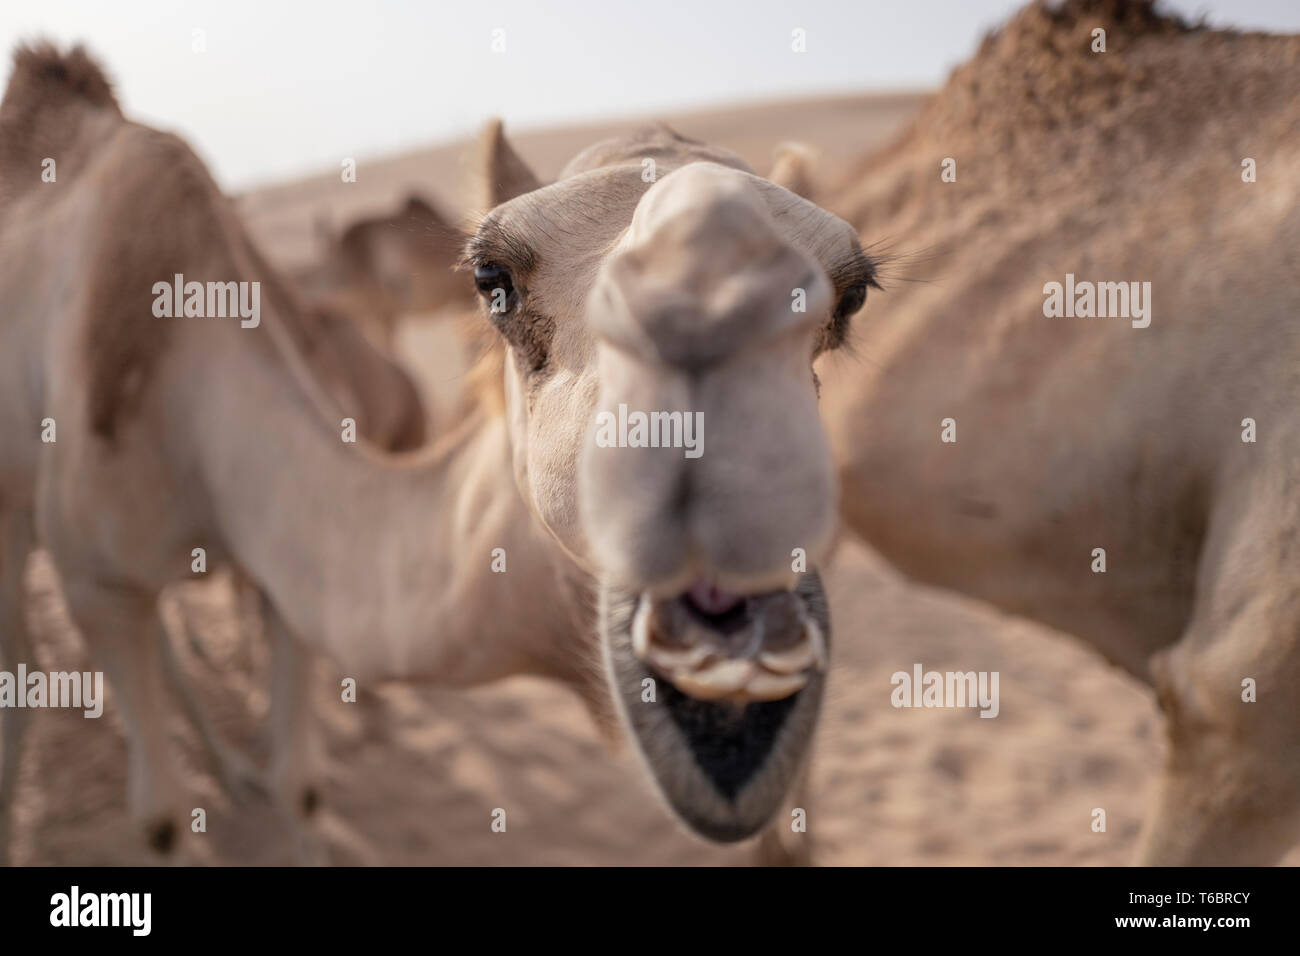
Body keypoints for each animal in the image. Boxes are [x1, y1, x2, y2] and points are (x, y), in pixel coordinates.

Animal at [0, 44, 877, 862]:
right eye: (492, 279)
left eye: (850, 297)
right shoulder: (95, 578)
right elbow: (155, 816)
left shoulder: (284, 574)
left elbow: (301, 780)